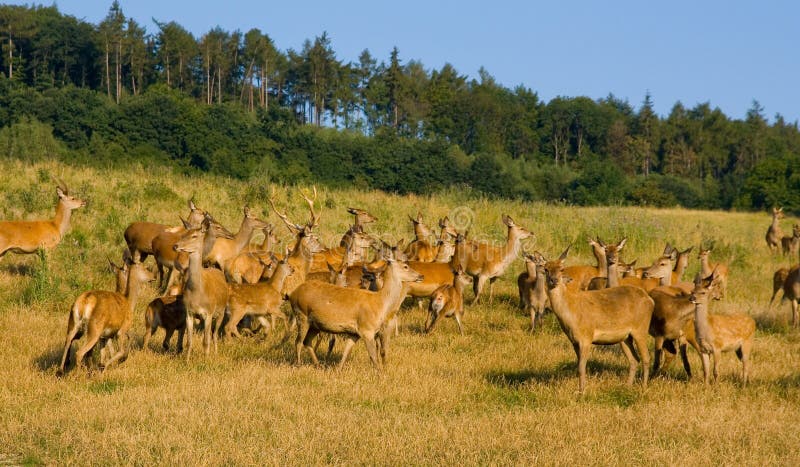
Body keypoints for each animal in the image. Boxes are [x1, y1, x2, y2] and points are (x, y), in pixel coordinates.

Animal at [173, 220, 231, 360]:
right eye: (183, 234)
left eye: (194, 236)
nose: (175, 246)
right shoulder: (189, 313)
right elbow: (189, 341)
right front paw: (187, 360)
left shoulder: (208, 313)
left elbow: (205, 341)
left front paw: (206, 360)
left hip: (221, 312)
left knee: (214, 335)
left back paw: (215, 354)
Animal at [289, 250, 423, 370]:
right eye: (405, 266)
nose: (421, 276)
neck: (380, 303)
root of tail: (293, 293)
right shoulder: (367, 329)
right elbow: (373, 357)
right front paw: (381, 375)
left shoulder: (354, 333)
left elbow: (345, 353)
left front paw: (338, 370)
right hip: (301, 314)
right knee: (298, 341)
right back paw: (298, 365)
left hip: (316, 324)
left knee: (307, 341)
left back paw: (318, 365)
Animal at [541, 244, 654, 393]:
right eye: (546, 269)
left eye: (561, 269)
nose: (553, 280)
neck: (572, 312)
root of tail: (650, 300)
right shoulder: (574, 341)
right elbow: (579, 366)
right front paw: (581, 389)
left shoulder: (586, 337)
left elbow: (581, 367)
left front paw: (581, 392)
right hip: (624, 337)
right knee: (634, 359)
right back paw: (627, 386)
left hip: (640, 328)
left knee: (646, 358)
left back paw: (644, 388)